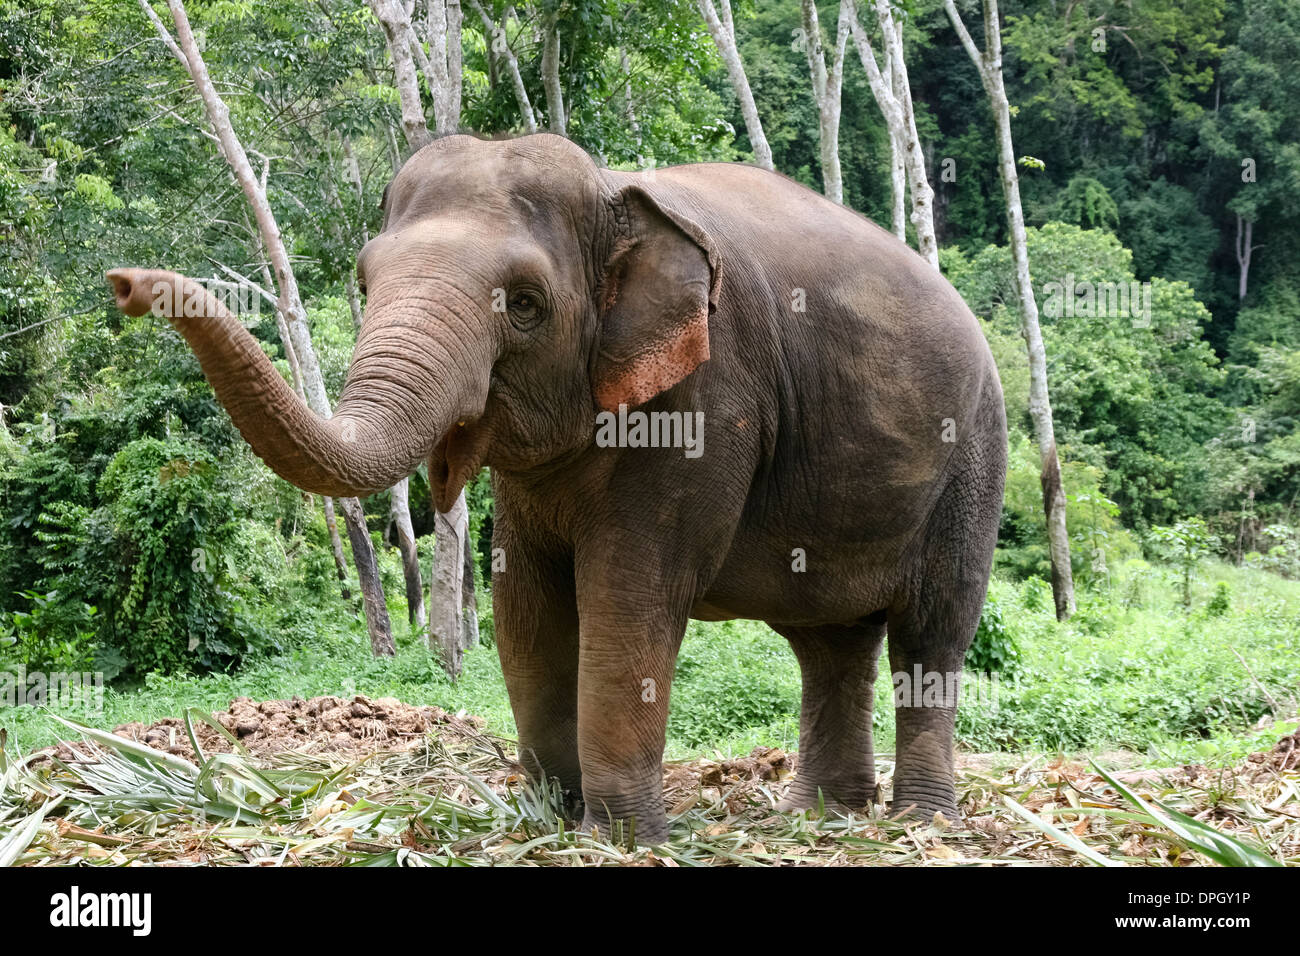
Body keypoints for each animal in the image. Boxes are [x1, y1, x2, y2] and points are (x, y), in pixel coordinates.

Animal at [108, 132, 1007, 845]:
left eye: (527, 304)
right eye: (365, 286)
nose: (127, 284)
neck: (618, 195)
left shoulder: (707, 402)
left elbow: (628, 600)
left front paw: (623, 839)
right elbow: (526, 606)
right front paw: (548, 821)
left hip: (974, 456)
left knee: (931, 632)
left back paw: (921, 822)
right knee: (830, 642)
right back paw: (822, 818)